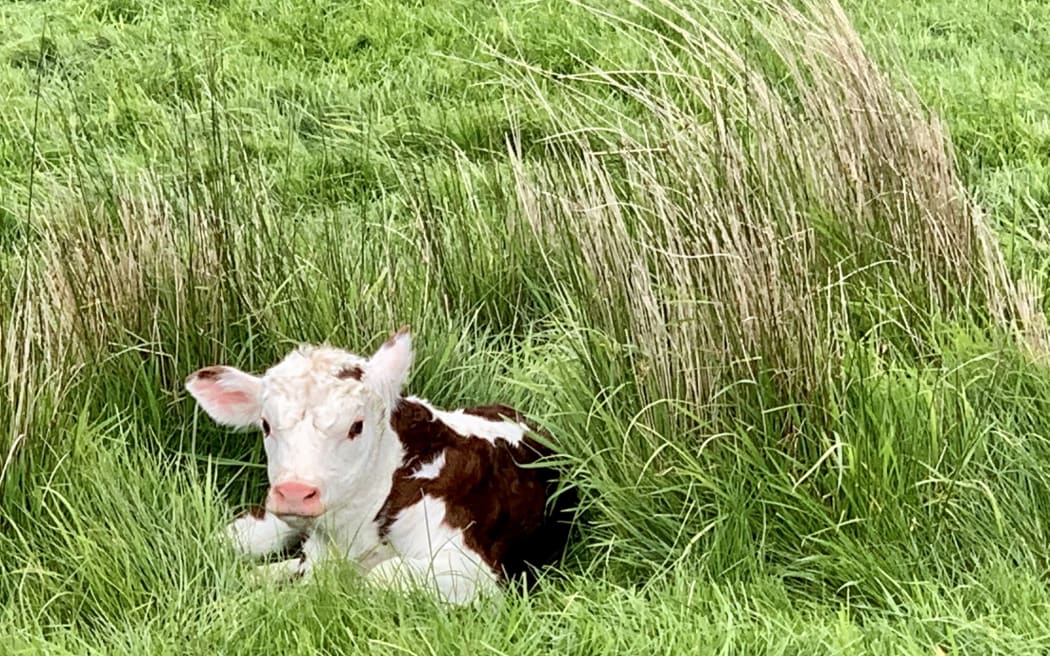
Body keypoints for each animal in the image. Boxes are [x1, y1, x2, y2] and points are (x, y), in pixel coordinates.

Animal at [184, 326, 574, 605]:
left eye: (356, 425)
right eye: (266, 424)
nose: (295, 492)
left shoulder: (475, 570)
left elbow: (378, 577)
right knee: (231, 540)